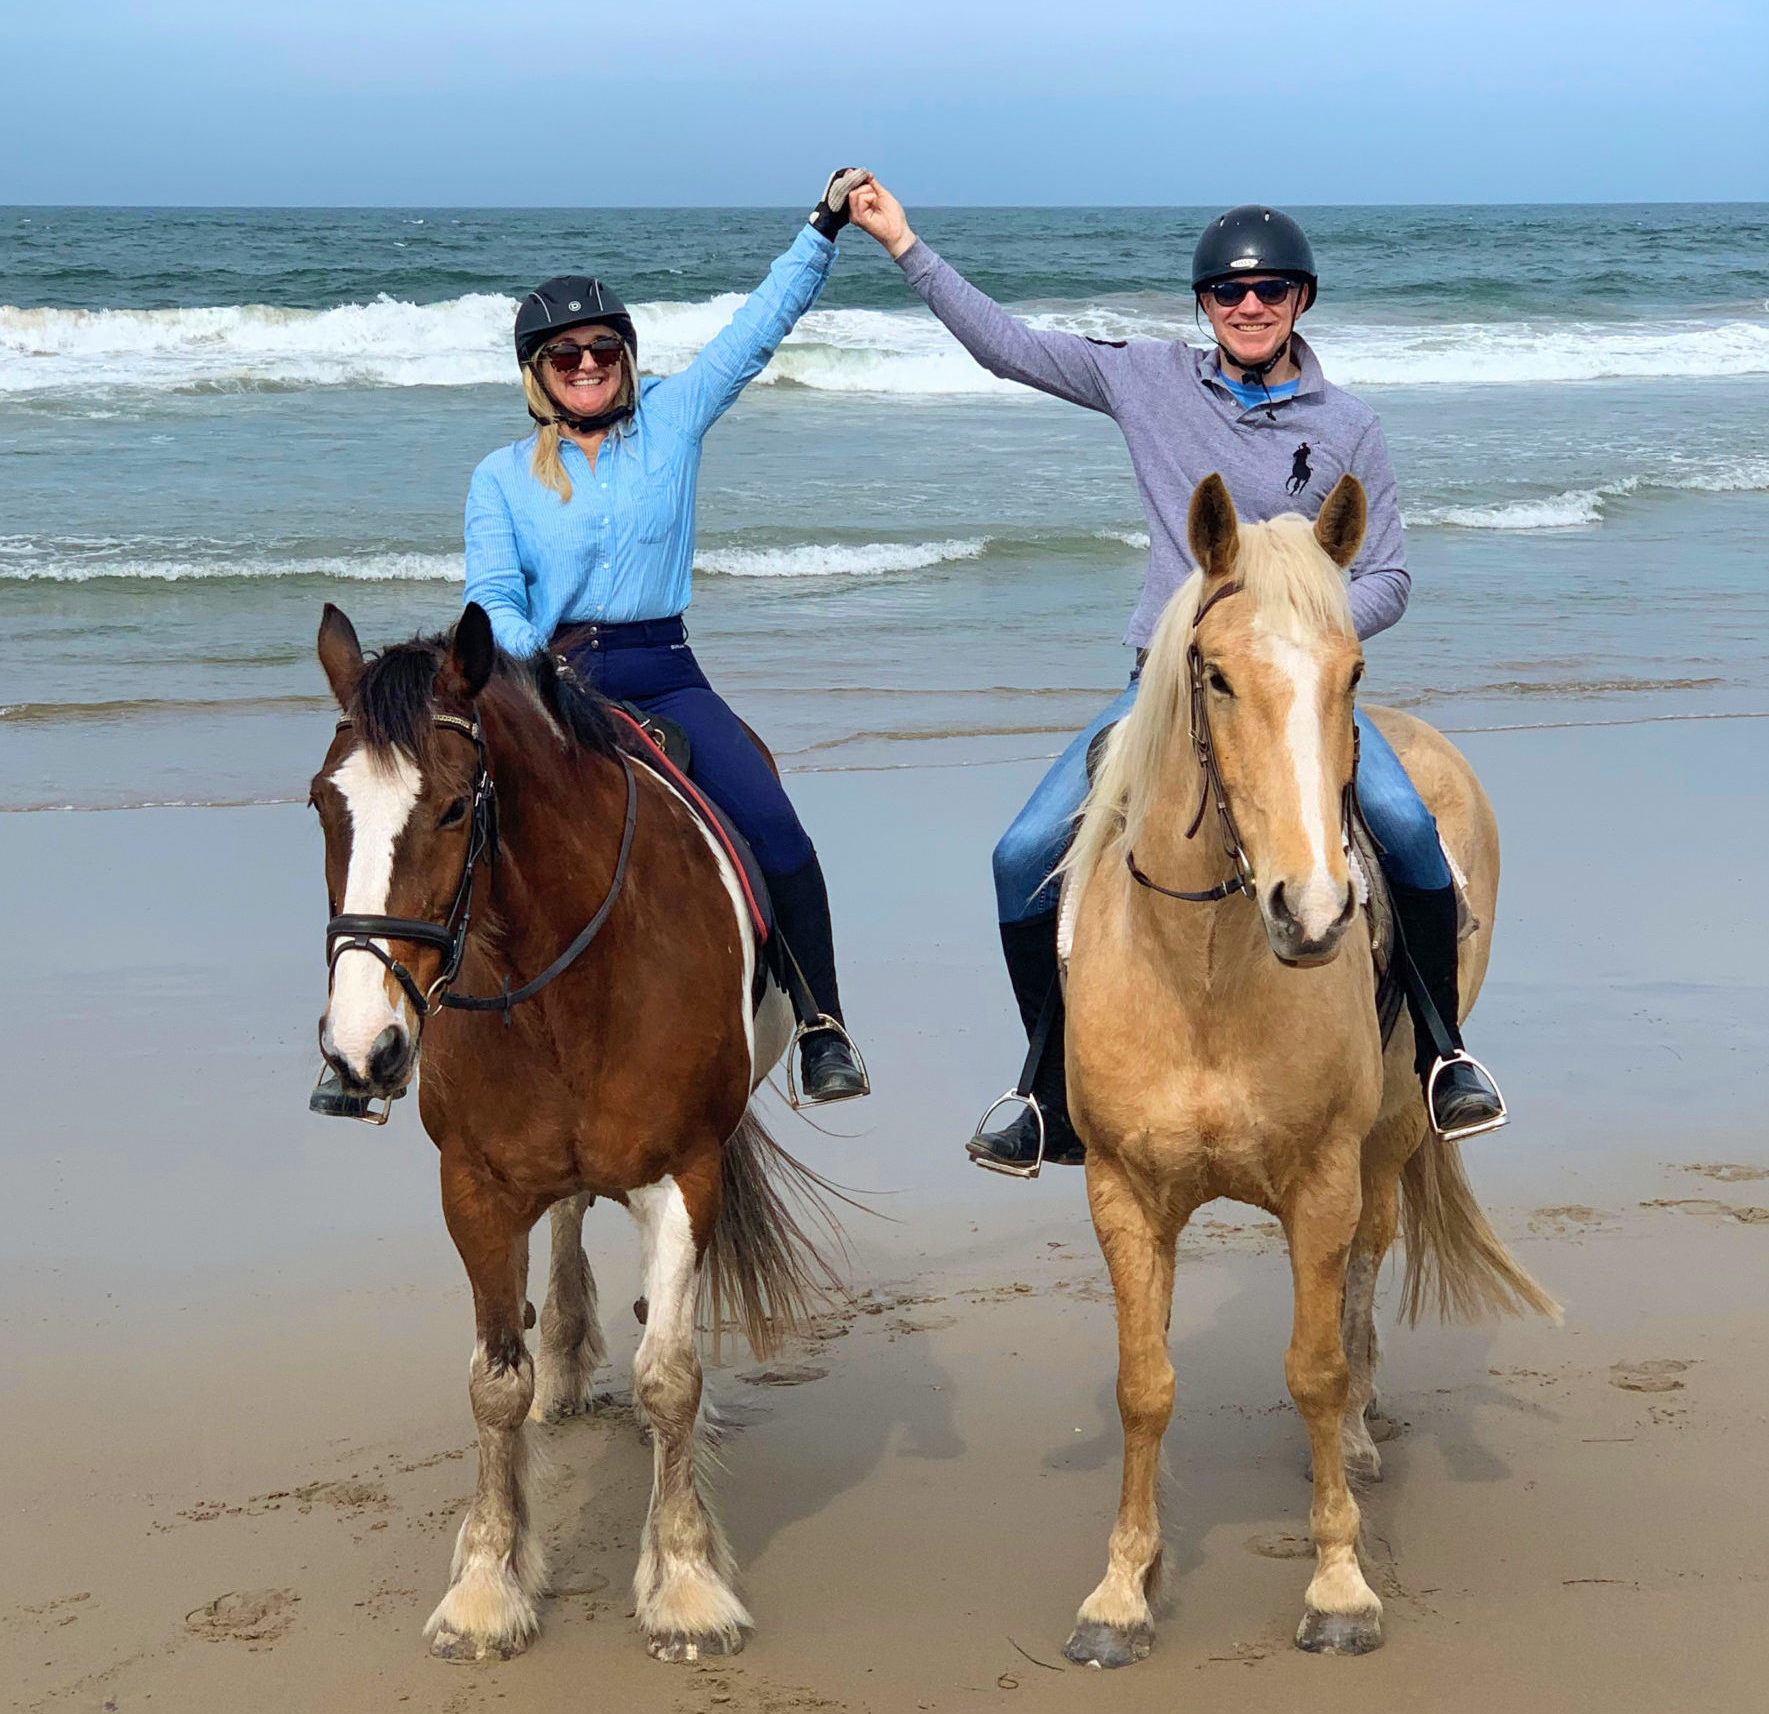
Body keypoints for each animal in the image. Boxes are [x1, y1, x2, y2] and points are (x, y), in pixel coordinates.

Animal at [308, 601, 837, 1665]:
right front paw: (485, 1584)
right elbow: (492, 1385)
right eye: (322, 807)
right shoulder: (473, 1187)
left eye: (455, 809)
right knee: (565, 1221)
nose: (361, 1049)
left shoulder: (684, 1172)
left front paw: (685, 1584)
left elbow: (669, 1376)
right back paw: (562, 1355)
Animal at [1055, 473, 1558, 1667]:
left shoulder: (1322, 1177)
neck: (1200, 971)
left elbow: (1314, 1369)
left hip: (1391, 1132)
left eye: (1350, 672)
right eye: (1215, 675)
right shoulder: (1121, 1192)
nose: (1316, 910)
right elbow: (1143, 1384)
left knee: (1369, 1262)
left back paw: (1367, 1440)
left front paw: (1338, 1585)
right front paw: (1119, 1591)